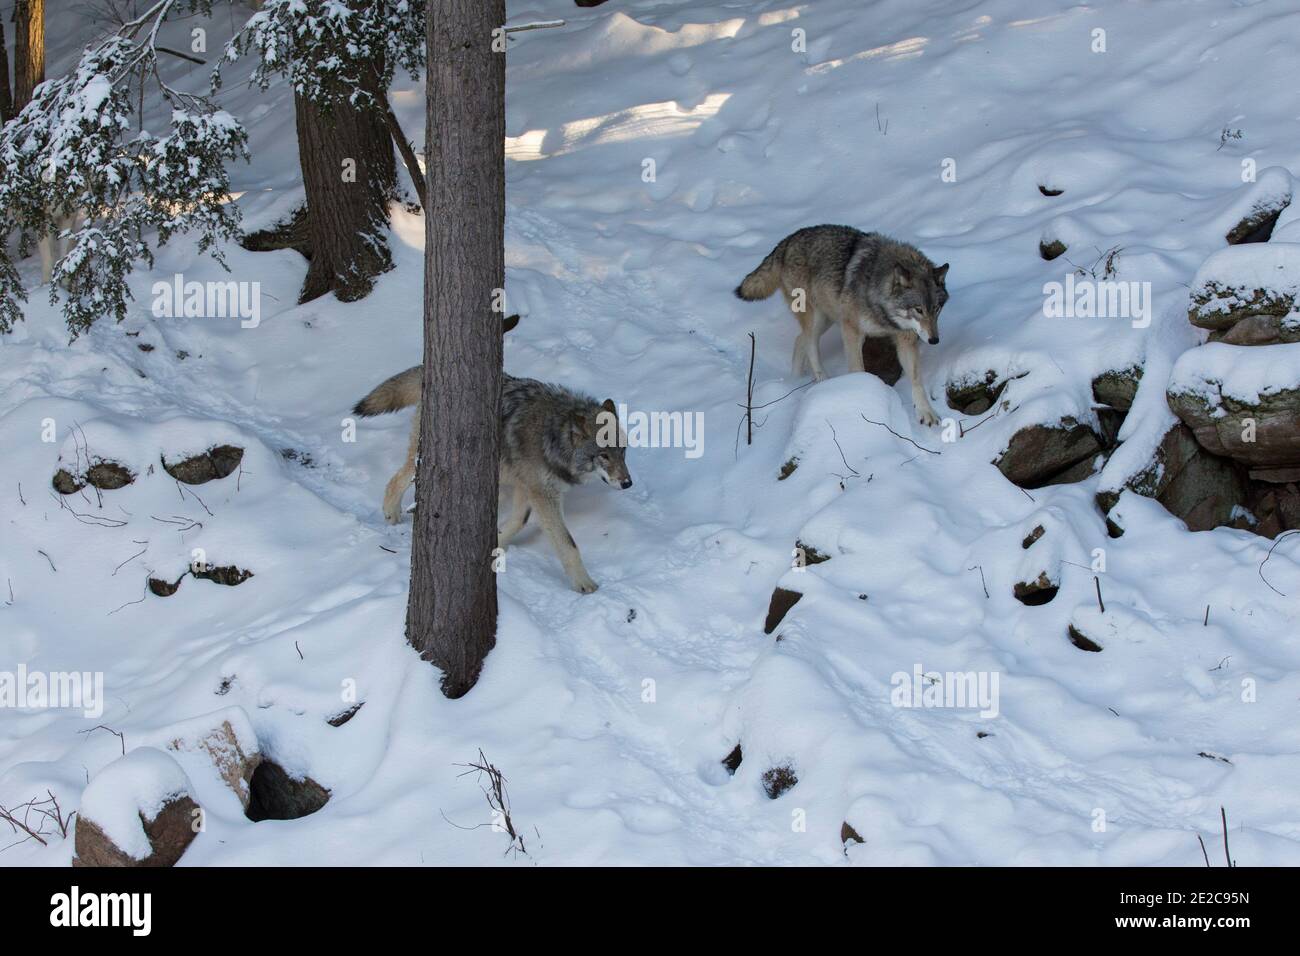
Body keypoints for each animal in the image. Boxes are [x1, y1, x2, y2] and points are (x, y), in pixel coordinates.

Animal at [352, 360, 631, 594]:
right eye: (604, 455)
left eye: (623, 451)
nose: (628, 483)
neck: (551, 437)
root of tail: (429, 376)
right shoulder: (542, 493)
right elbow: (568, 544)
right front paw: (585, 584)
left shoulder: (527, 487)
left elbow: (518, 521)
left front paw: (494, 546)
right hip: (425, 460)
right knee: (396, 479)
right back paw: (391, 514)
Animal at [735, 225, 949, 426]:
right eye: (918, 310)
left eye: (936, 309)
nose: (934, 340)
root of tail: (787, 240)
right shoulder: (852, 331)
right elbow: (858, 367)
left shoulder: (906, 338)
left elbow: (916, 378)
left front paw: (926, 413)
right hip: (818, 318)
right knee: (810, 344)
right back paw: (822, 380)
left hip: (827, 318)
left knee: (799, 340)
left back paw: (795, 379)